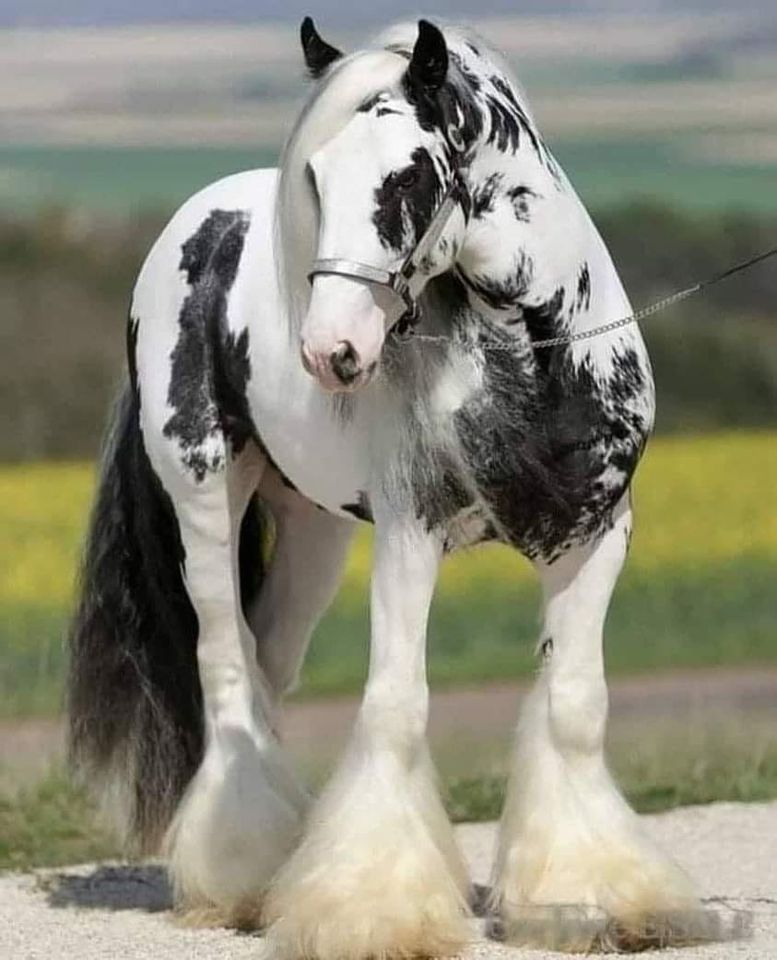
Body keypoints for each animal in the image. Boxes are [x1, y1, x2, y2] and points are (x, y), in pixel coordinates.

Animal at [67, 17, 698, 958]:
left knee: (267, 665)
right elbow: (395, 707)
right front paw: (372, 912)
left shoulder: (592, 539)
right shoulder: (410, 536)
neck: (532, 358)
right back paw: (243, 880)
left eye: (407, 175)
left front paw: (594, 898)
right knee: (226, 670)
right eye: (315, 177)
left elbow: (574, 706)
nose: (330, 352)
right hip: (205, 496)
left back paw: (278, 863)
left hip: (314, 533)